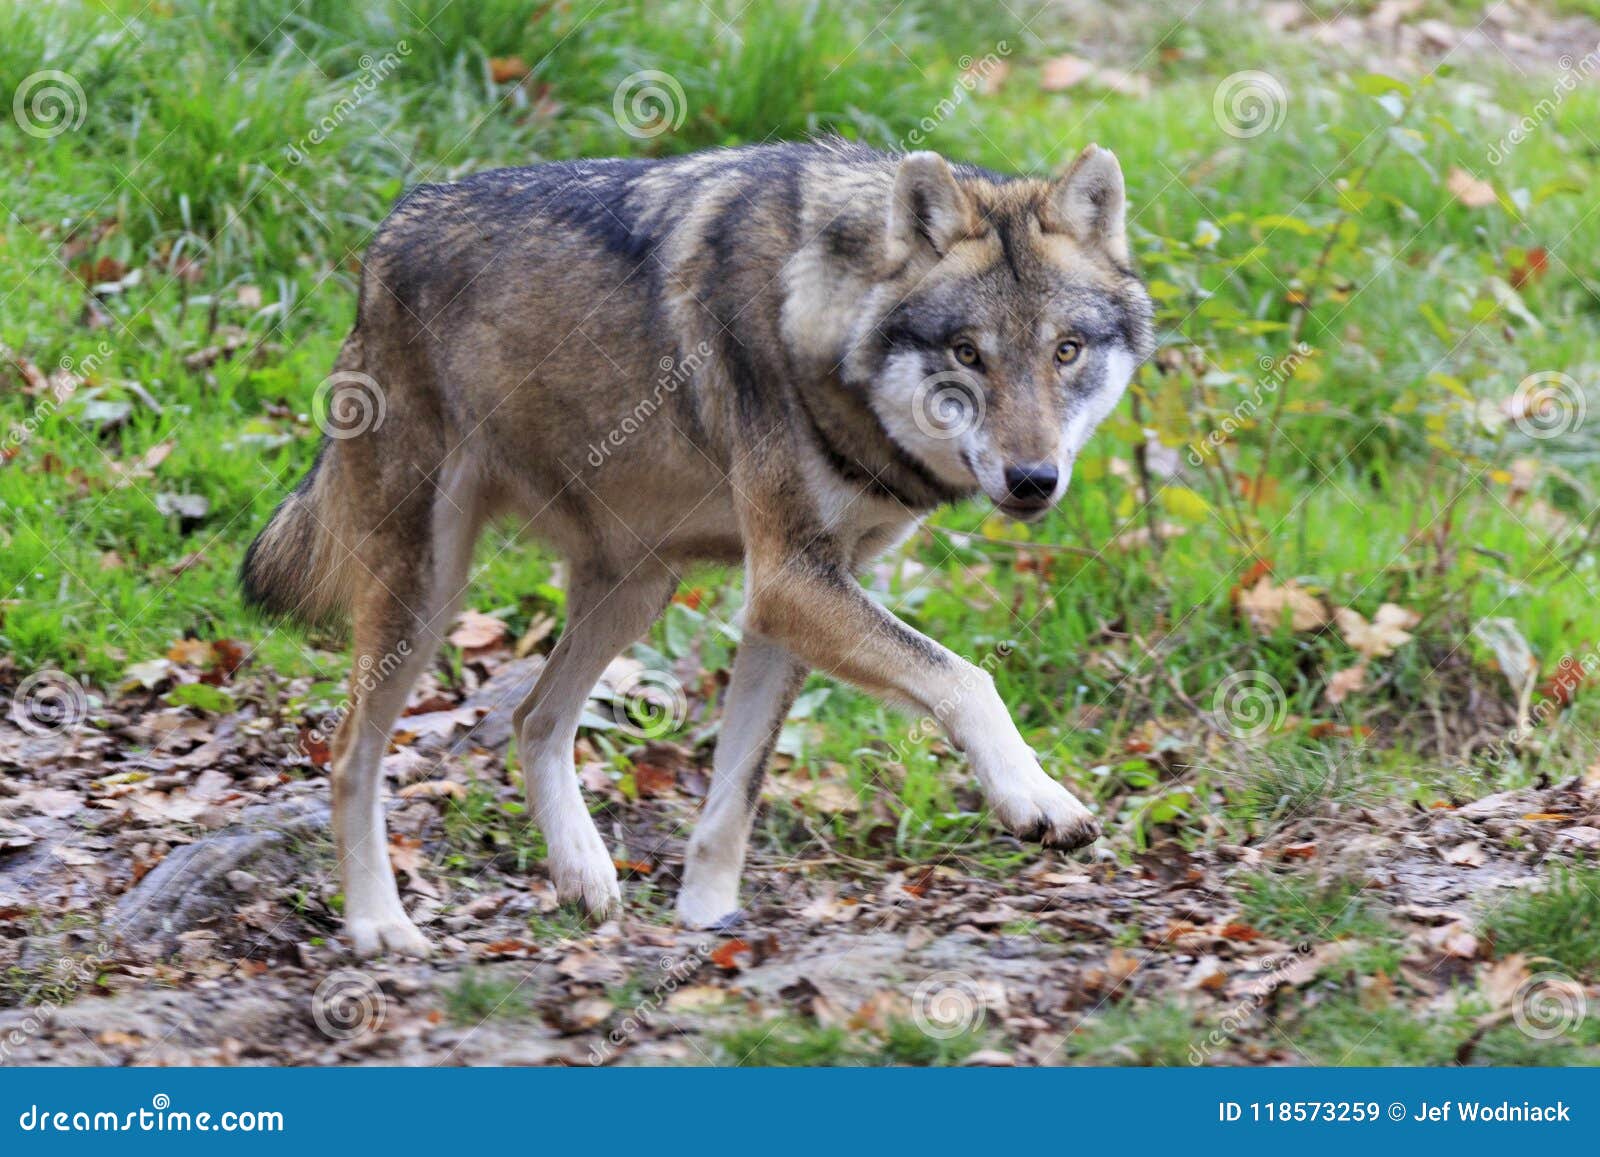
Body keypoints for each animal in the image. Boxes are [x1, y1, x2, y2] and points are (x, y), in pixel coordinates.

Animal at [241, 139, 1155, 956]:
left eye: (1066, 351)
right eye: (968, 353)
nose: (1033, 479)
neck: (818, 315)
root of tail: (386, 239)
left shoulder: (797, 599)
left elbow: (735, 792)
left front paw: (706, 920)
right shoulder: (789, 584)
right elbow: (966, 678)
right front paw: (1037, 798)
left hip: (637, 589)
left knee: (535, 718)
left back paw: (583, 874)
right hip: (430, 592)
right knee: (351, 755)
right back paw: (377, 924)